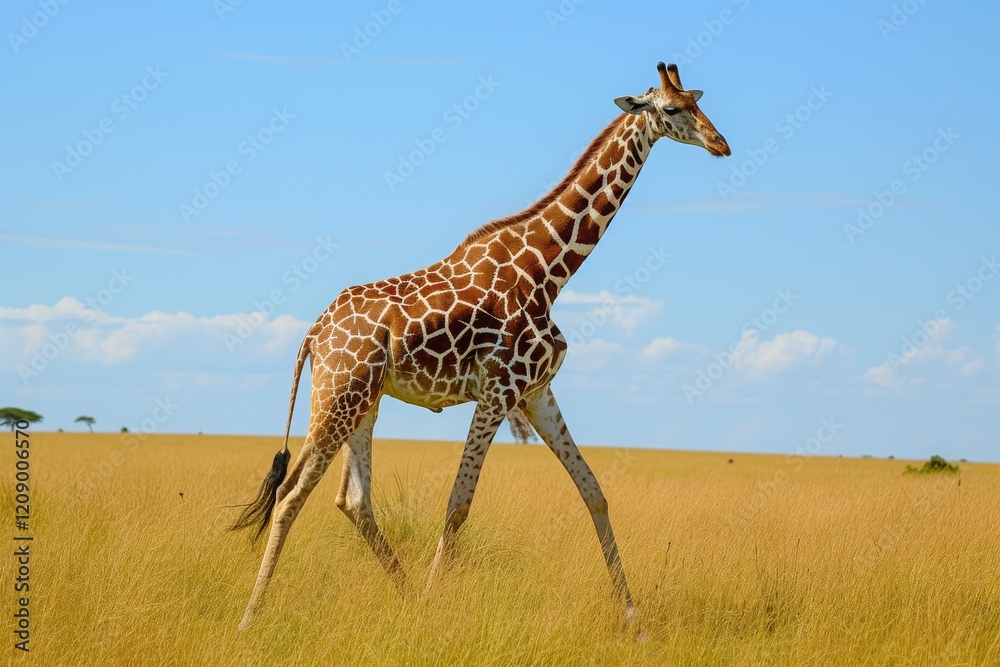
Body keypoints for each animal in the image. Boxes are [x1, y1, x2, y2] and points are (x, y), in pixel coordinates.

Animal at [231, 61, 730, 631]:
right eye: (671, 109)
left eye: (697, 101)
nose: (720, 144)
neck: (550, 270)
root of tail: (314, 333)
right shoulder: (498, 391)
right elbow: (458, 505)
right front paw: (434, 604)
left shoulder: (536, 392)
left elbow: (594, 492)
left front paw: (633, 618)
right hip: (337, 395)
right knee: (290, 494)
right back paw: (251, 616)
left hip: (364, 402)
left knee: (353, 500)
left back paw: (403, 597)